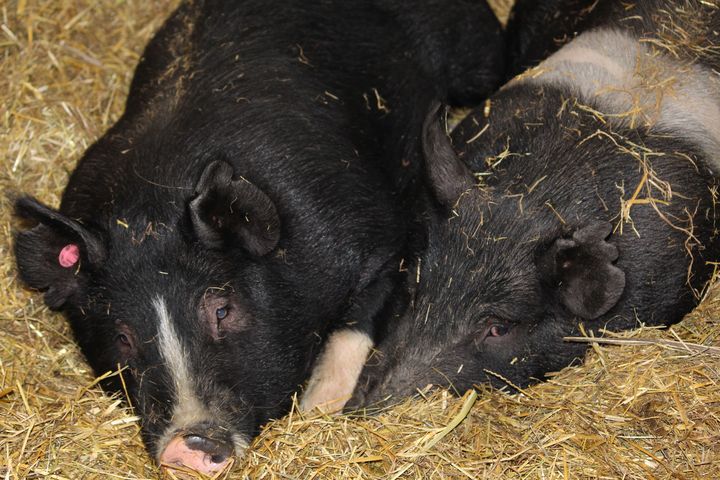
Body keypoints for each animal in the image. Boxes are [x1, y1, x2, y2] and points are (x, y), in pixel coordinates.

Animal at [13, 0, 505, 474]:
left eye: (222, 309)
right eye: (122, 336)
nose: (188, 445)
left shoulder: (380, 233)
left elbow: (360, 316)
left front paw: (319, 409)